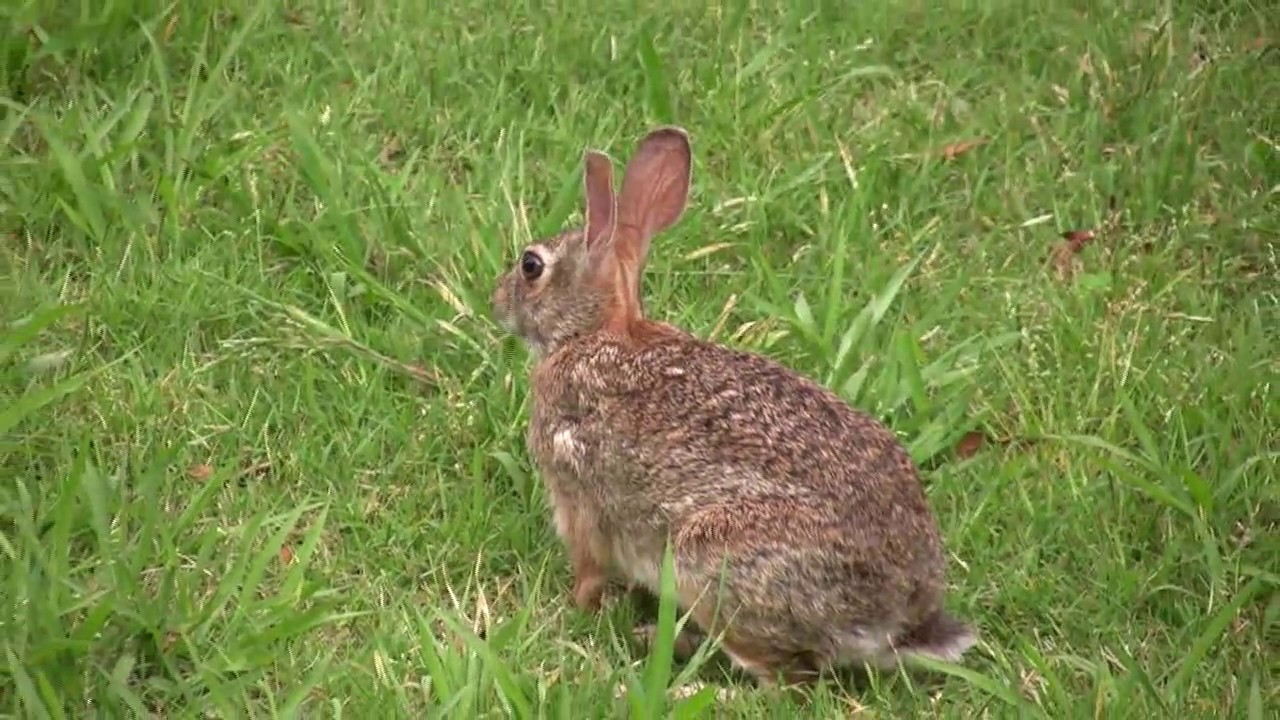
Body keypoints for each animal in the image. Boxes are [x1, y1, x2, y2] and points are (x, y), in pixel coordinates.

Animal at [490, 126, 977, 686]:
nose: (496, 299)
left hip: (709, 558)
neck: (594, 333)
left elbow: (589, 567)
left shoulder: (578, 501)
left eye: (531, 266)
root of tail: (898, 619)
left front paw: (579, 608)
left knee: (789, 676)